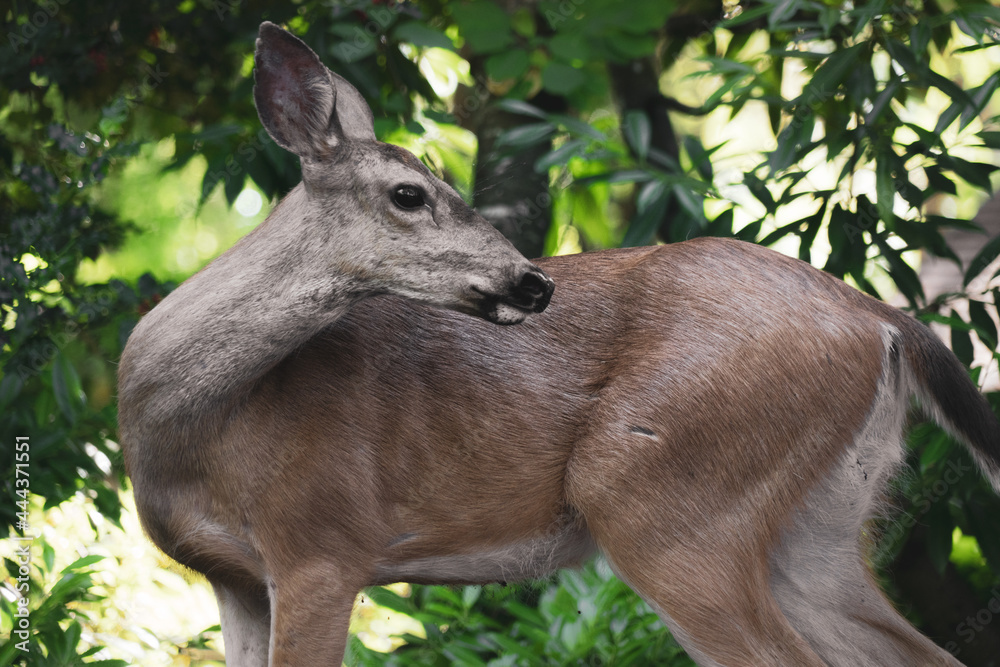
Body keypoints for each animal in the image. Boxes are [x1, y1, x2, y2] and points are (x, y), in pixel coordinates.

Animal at [117, 21, 1000, 667]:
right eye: (408, 193)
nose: (533, 282)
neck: (191, 428)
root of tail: (883, 317)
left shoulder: (322, 542)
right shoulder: (232, 576)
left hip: (663, 498)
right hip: (819, 526)